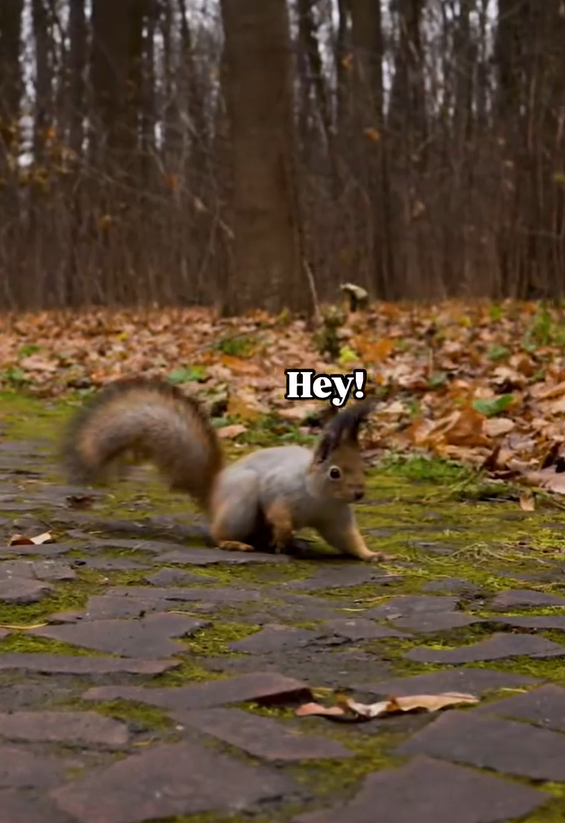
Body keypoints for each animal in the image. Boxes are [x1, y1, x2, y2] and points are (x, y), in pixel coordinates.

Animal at [60, 376, 392, 563]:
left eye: (363, 467)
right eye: (335, 472)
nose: (359, 493)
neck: (319, 496)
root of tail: (214, 493)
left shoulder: (335, 516)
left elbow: (347, 538)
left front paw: (371, 554)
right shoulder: (281, 490)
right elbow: (279, 514)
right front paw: (284, 533)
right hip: (241, 501)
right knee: (219, 534)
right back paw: (239, 543)